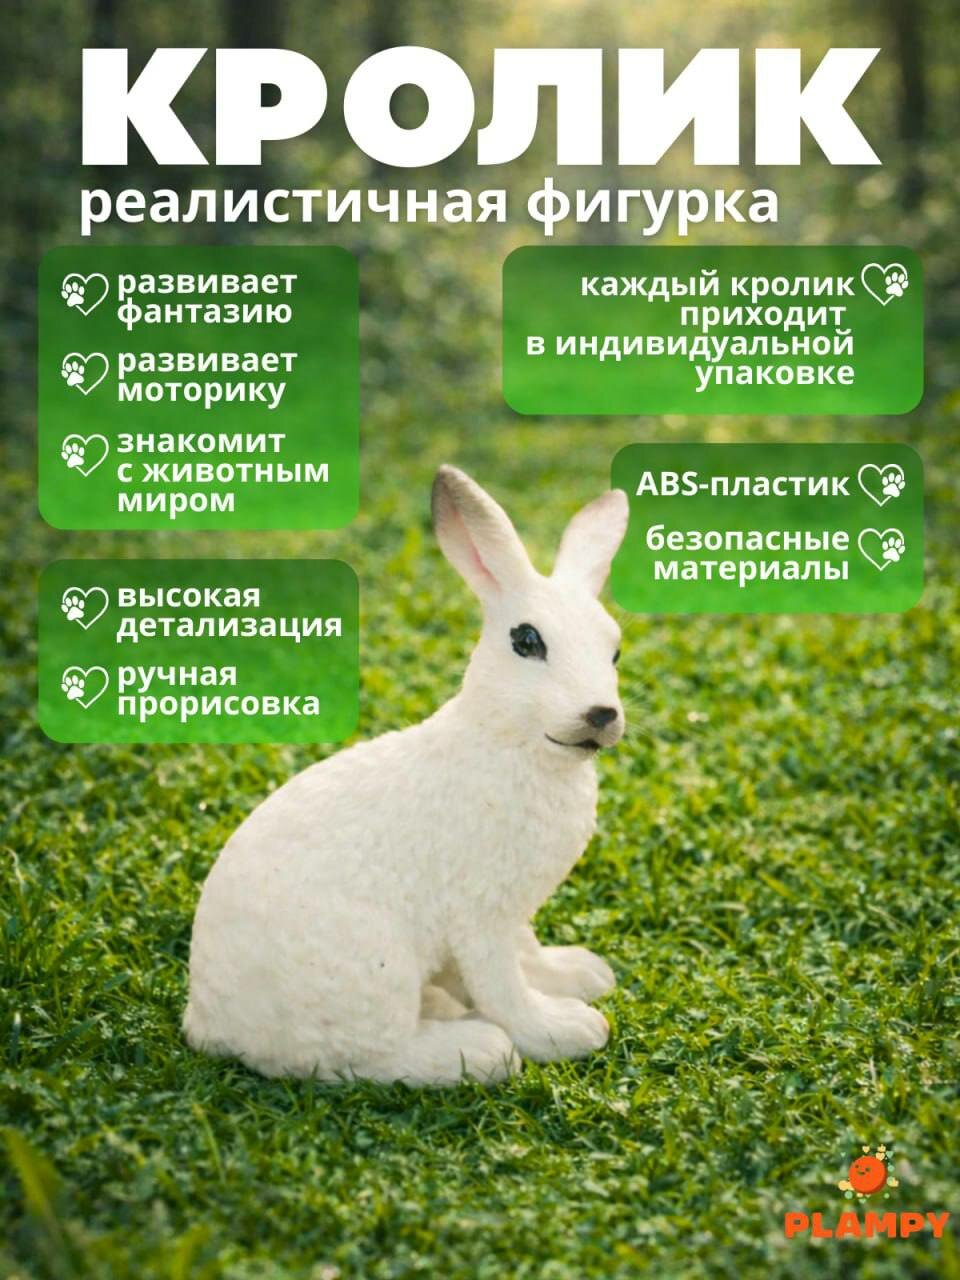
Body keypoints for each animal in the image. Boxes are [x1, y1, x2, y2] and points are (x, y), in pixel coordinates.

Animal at [183, 466, 629, 1086]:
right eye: (526, 641)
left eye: (614, 651)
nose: (601, 714)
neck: (506, 743)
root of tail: (208, 1023)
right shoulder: (480, 915)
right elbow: (503, 985)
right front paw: (563, 1029)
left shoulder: (514, 910)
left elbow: (526, 955)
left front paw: (578, 975)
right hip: (374, 967)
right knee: (372, 1057)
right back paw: (477, 1048)